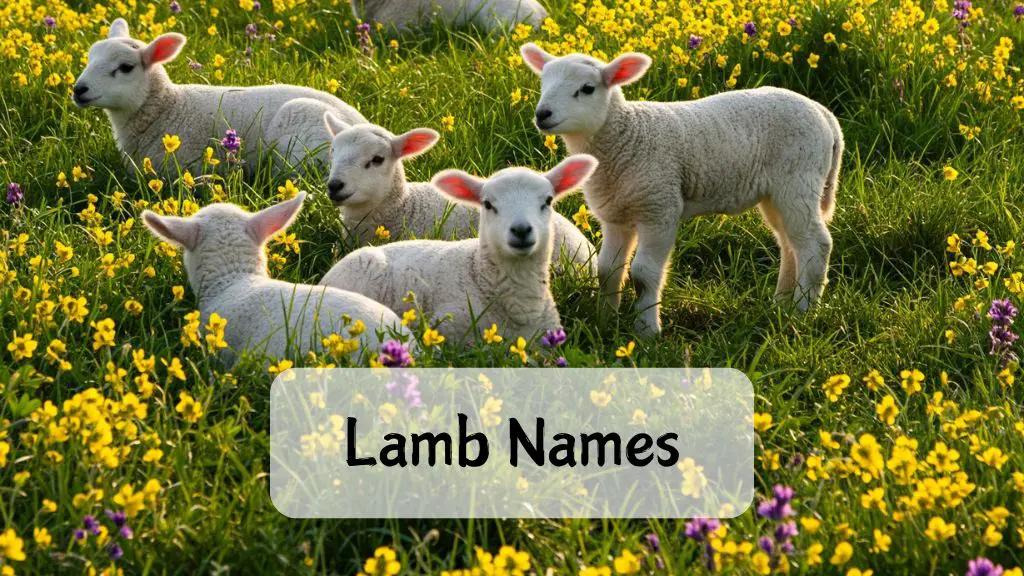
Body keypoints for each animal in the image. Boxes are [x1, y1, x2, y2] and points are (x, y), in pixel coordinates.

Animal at [520, 43, 844, 338]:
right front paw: (605, 323)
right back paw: (781, 304)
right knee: (791, 243)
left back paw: (803, 311)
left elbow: (643, 274)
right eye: (543, 83)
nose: (542, 114)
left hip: (798, 178)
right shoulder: (616, 216)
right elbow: (607, 271)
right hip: (777, 192)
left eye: (587, 89)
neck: (625, 137)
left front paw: (646, 331)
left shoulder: (660, 207)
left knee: (815, 244)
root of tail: (824, 114)